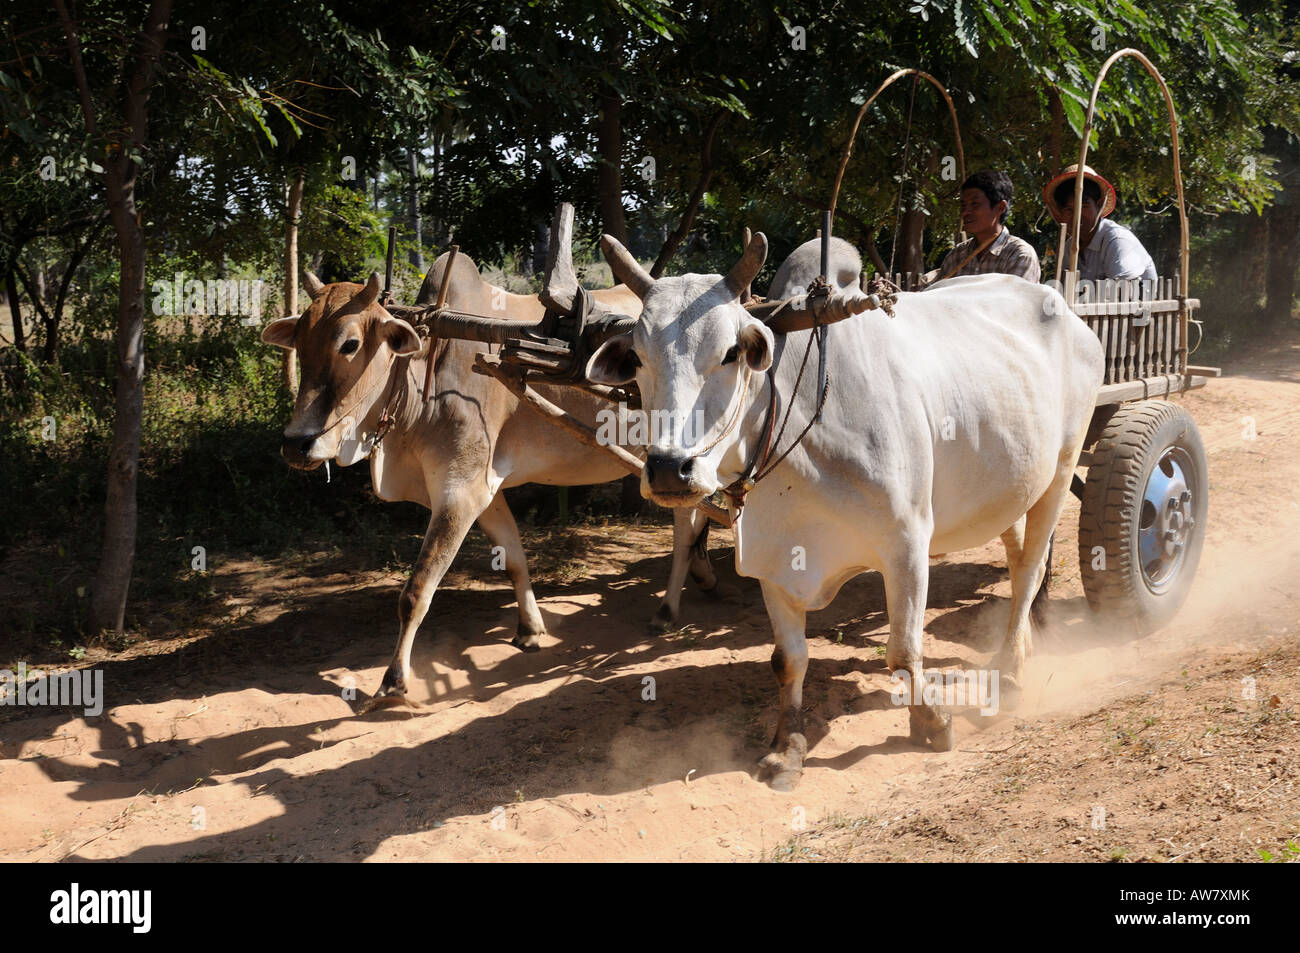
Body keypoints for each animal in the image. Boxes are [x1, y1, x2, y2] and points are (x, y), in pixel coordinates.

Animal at [261, 252, 717, 709]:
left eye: (350, 344)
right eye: (299, 343)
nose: (296, 444)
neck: (424, 376)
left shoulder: (460, 492)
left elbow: (416, 591)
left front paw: (394, 682)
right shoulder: (482, 490)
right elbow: (513, 558)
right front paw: (531, 630)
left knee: (685, 529)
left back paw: (667, 610)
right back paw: (702, 576)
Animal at [586, 232, 1104, 789]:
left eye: (729, 353)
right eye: (638, 358)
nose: (668, 470)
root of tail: (1062, 308)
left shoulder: (907, 545)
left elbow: (902, 650)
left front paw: (931, 724)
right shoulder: (773, 560)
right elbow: (787, 660)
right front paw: (786, 749)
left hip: (1060, 468)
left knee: (1029, 570)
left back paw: (1008, 674)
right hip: (1009, 486)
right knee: (1017, 557)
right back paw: (1022, 646)